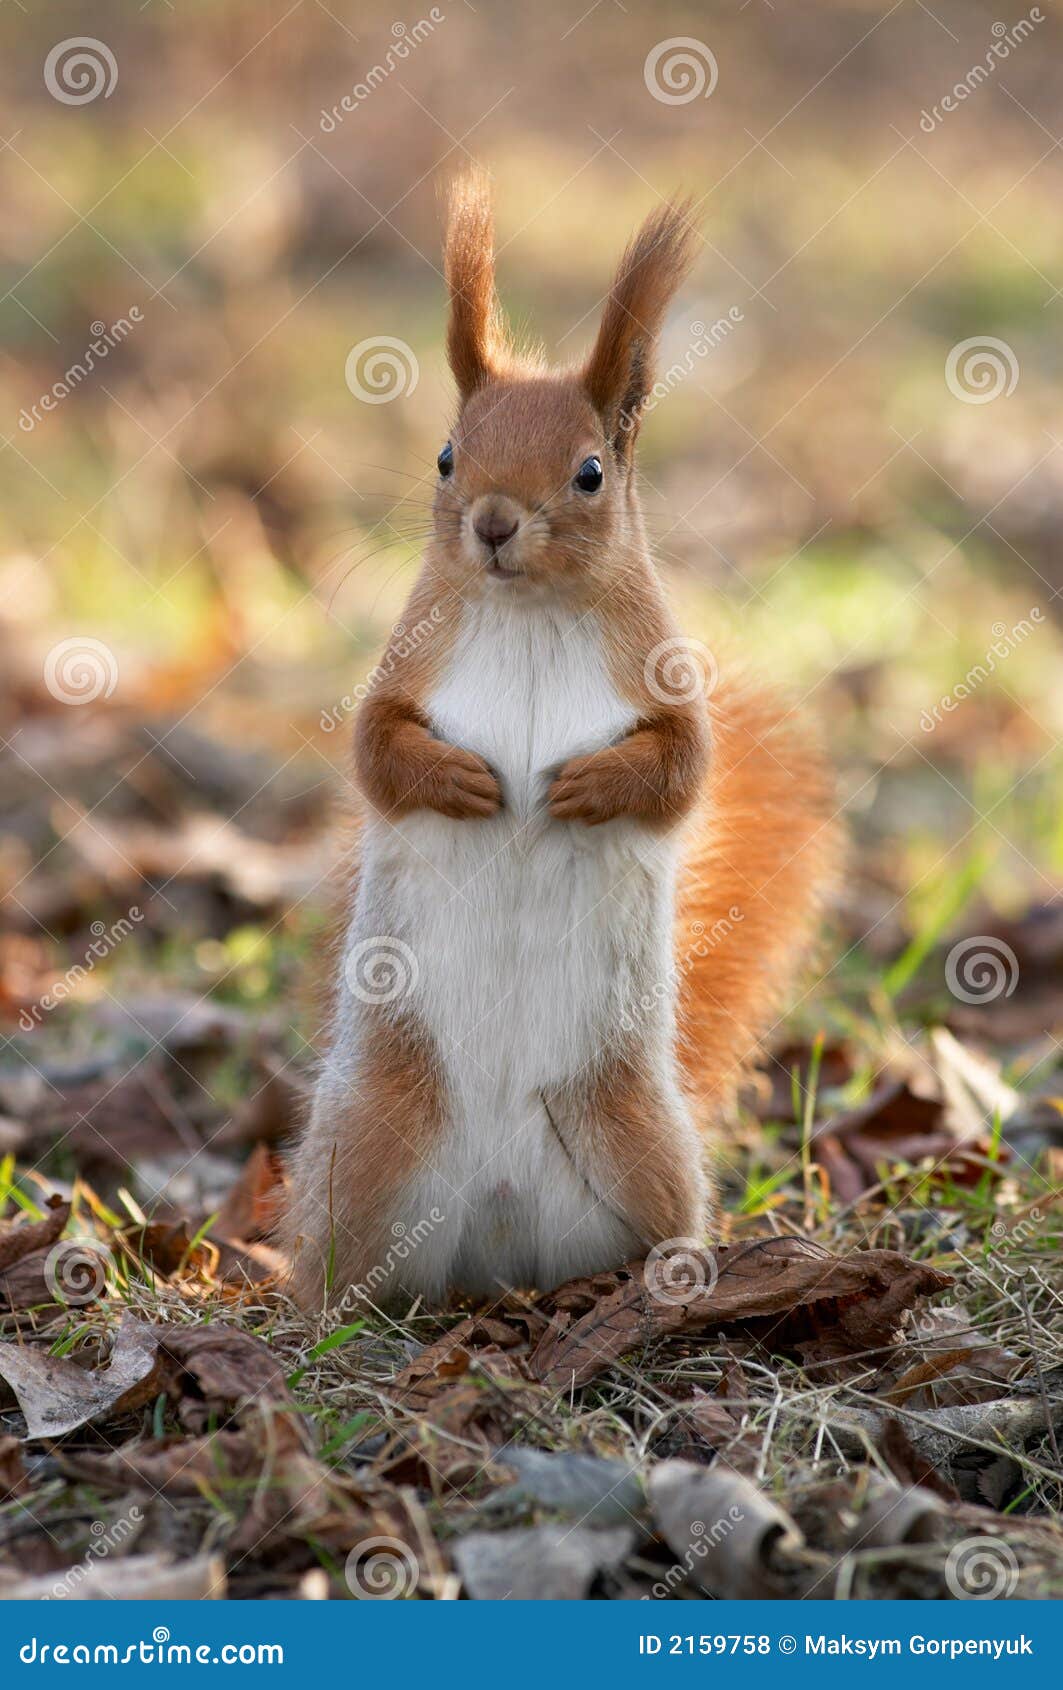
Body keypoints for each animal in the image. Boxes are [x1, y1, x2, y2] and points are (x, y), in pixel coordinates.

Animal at [284, 174, 839, 1312]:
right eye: (445, 456)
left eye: (589, 473)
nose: (495, 522)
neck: (530, 611)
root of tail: (496, 1242)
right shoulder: (406, 665)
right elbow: (374, 749)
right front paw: (458, 780)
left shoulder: (663, 677)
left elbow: (682, 766)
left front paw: (587, 787)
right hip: (367, 1144)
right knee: (337, 1262)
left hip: (635, 1141)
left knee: (654, 1224)